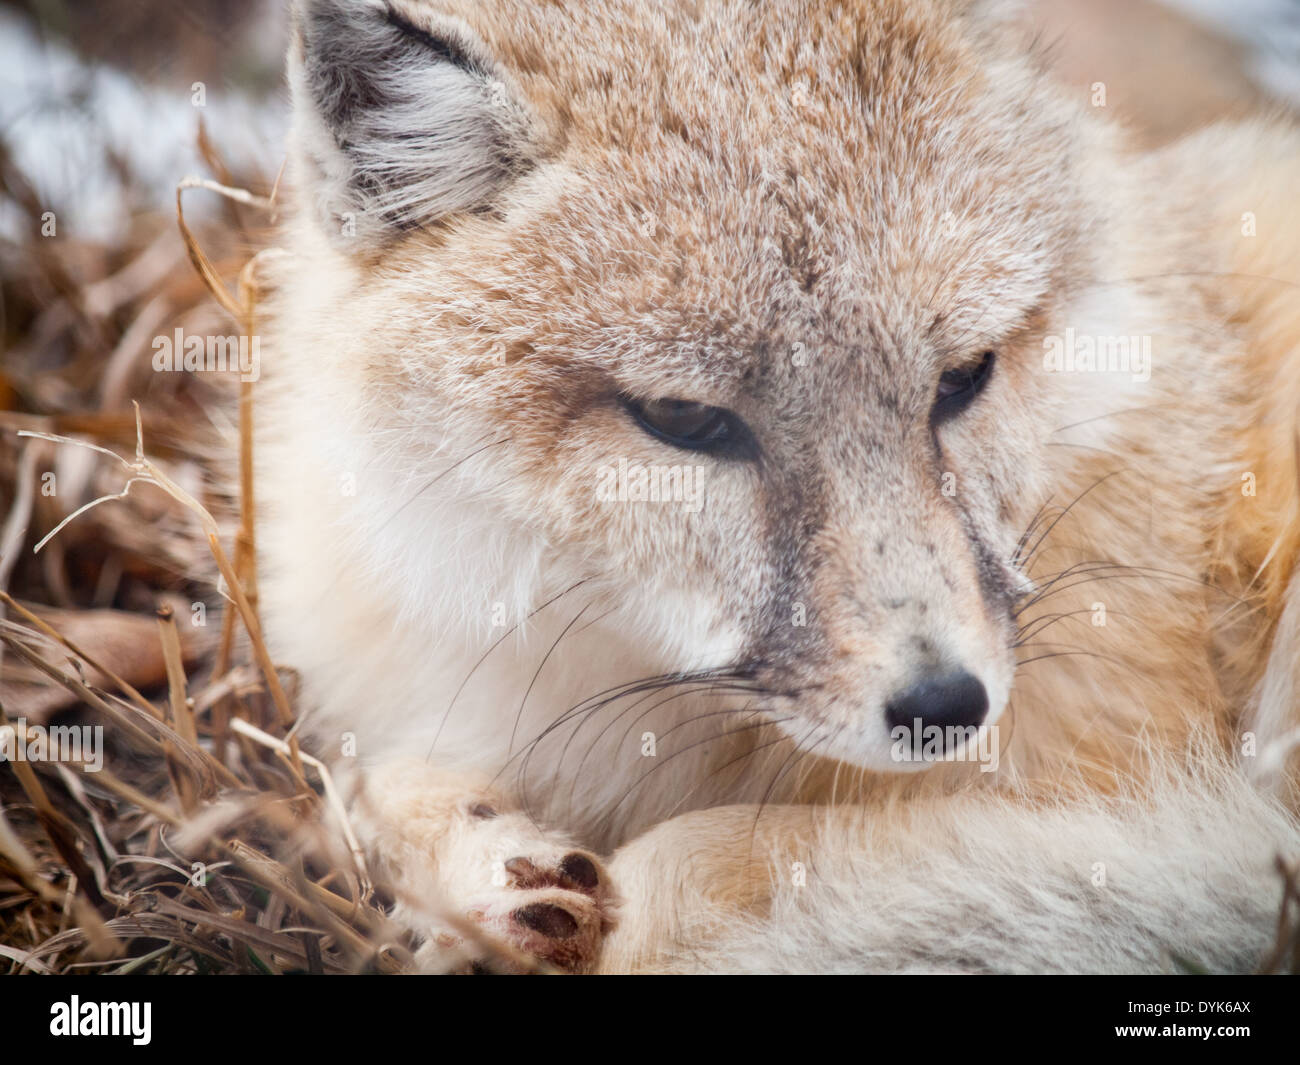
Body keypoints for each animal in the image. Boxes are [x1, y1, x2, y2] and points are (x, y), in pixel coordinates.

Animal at [254, 0, 1300, 973]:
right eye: (684, 418)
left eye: (963, 377)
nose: (946, 707)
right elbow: (367, 787)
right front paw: (490, 870)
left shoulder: (1109, 756)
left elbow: (684, 872)